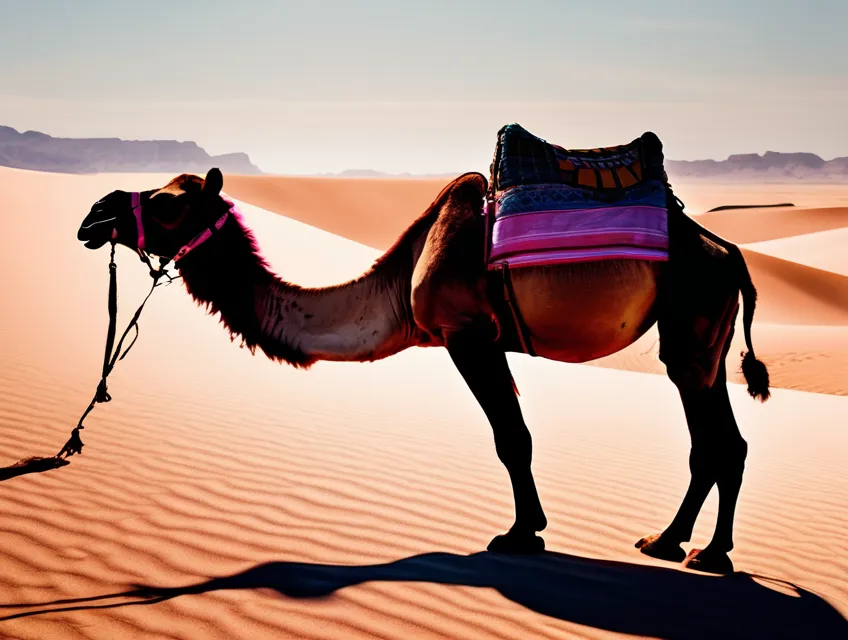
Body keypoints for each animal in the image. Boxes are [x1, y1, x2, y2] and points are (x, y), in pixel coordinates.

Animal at [77, 166, 770, 575]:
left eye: (167, 206)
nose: (94, 215)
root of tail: (728, 250)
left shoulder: (468, 333)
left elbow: (511, 438)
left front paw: (522, 534)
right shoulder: (476, 338)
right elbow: (513, 437)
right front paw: (528, 529)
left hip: (692, 328)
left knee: (718, 440)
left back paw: (708, 553)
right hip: (702, 341)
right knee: (720, 442)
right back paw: (671, 543)